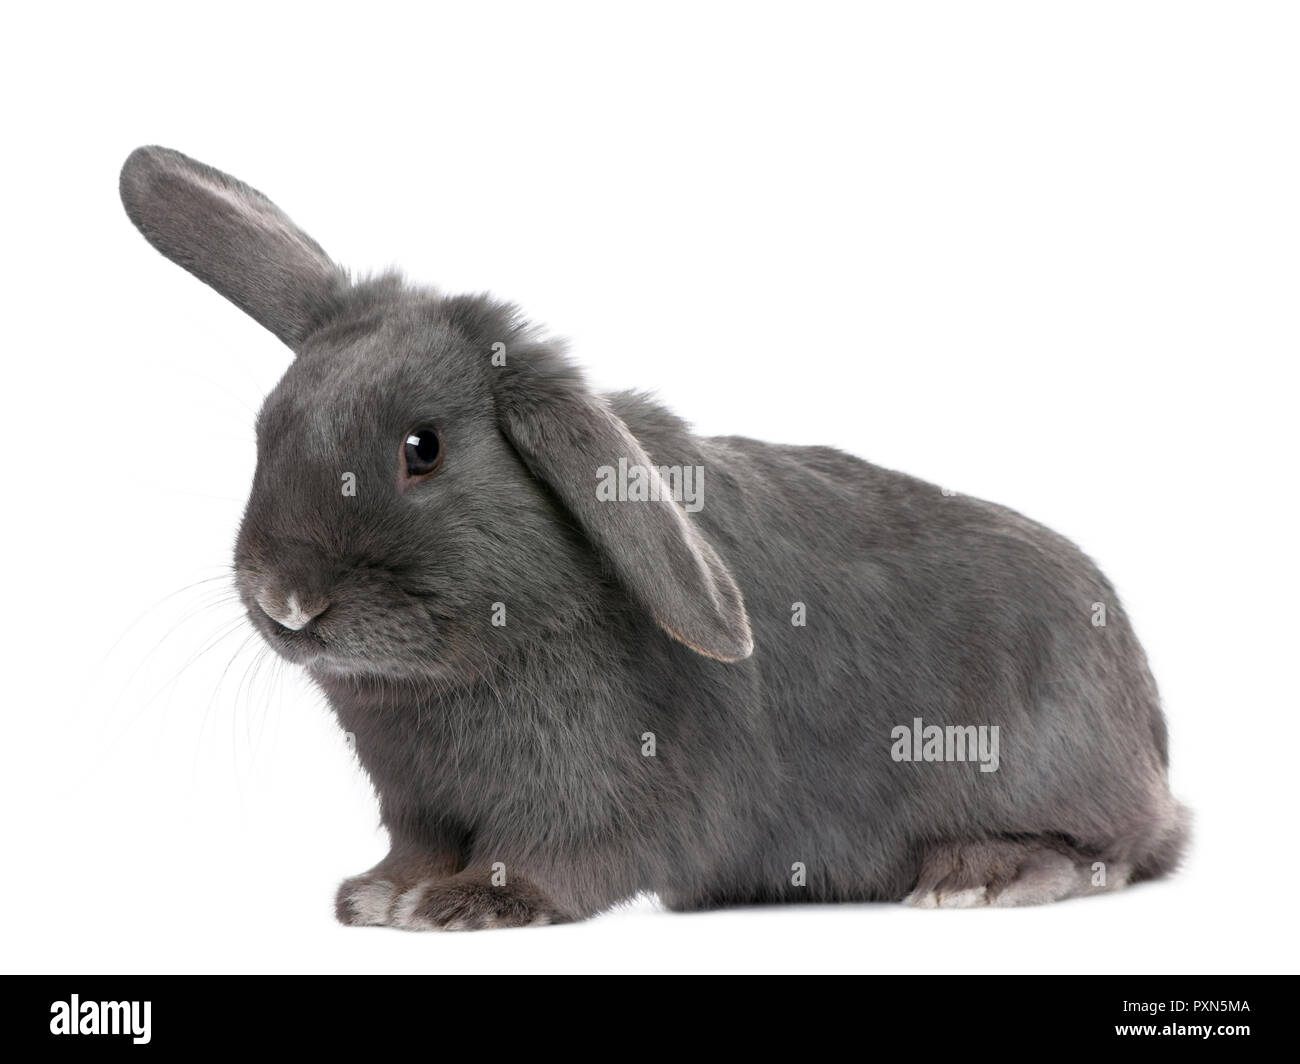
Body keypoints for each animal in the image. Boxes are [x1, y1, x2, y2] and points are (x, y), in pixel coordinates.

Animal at [119, 145, 1189, 930]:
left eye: (422, 449)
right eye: (267, 429)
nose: (286, 599)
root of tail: (1148, 724)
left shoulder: (601, 792)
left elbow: (560, 856)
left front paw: (465, 905)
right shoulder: (415, 803)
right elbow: (413, 848)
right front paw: (381, 895)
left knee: (1115, 851)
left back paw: (980, 875)